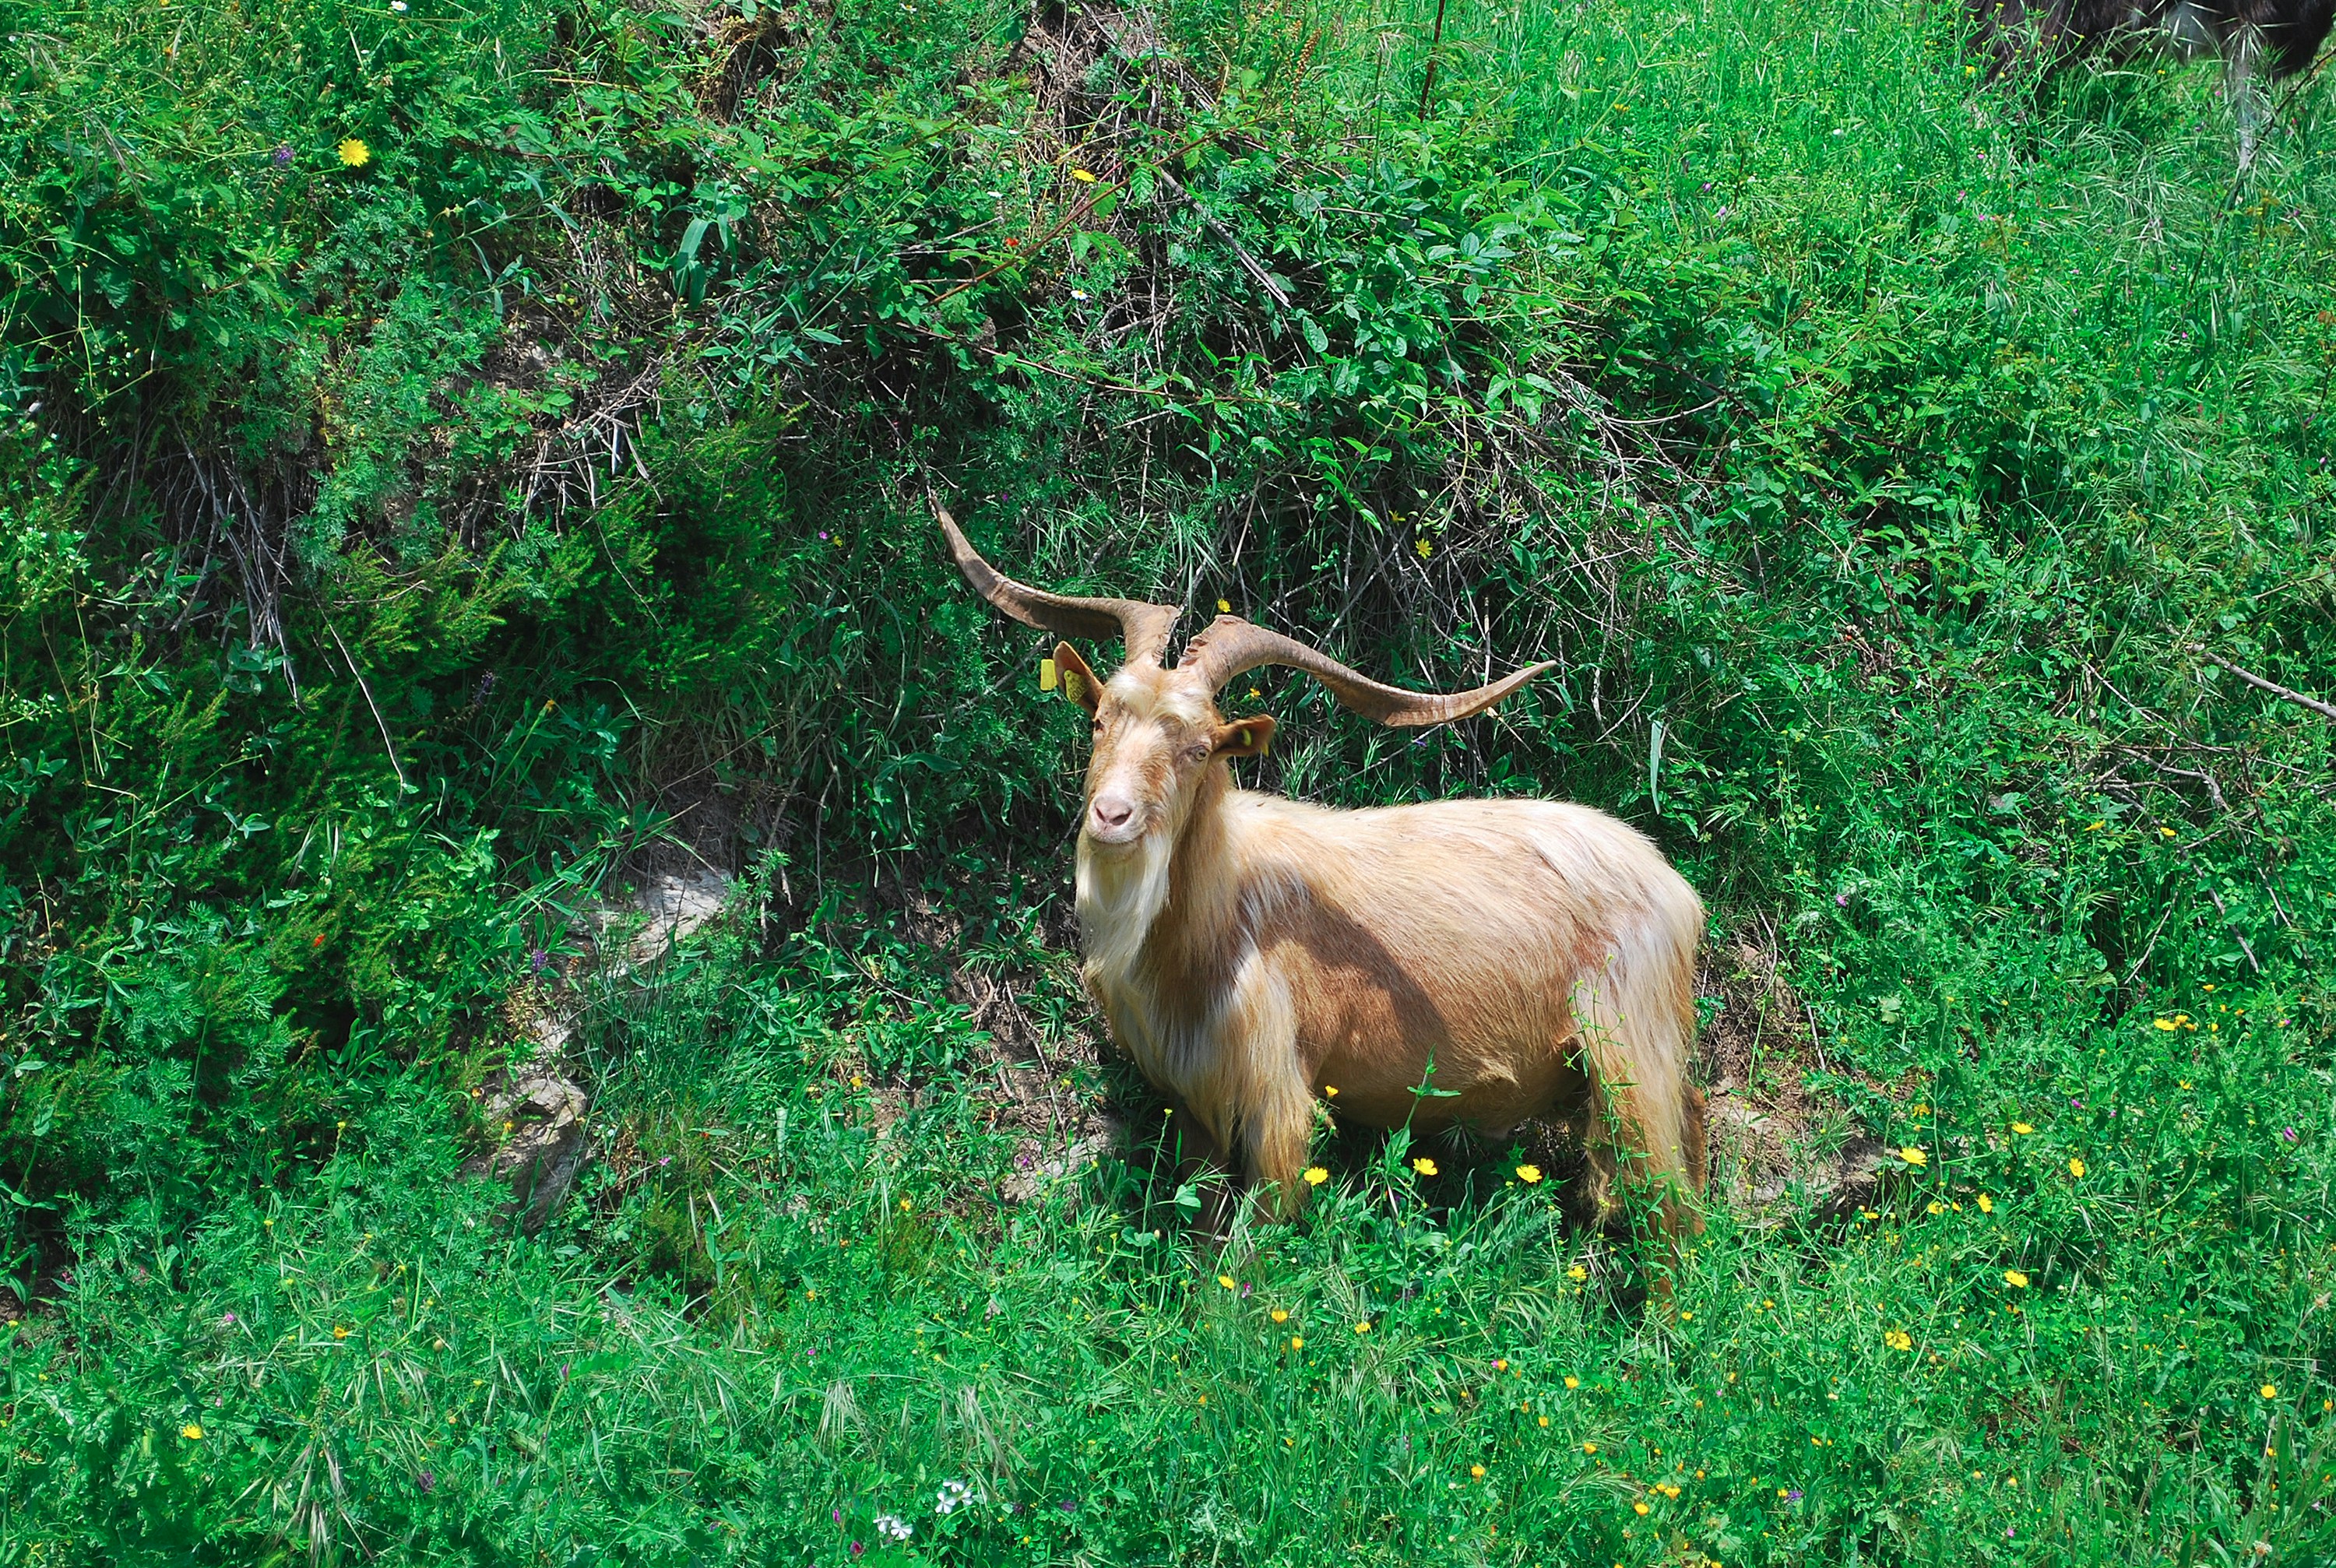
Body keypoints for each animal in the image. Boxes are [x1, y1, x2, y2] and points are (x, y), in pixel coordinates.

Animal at [938, 504, 1708, 1242]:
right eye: (1099, 720)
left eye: (1199, 749)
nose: (1112, 815)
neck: (1217, 918)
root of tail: (1671, 882)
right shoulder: (1192, 1100)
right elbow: (1205, 1231)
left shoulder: (1278, 1098)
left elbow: (1247, 1256)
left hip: (1632, 1052)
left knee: (1670, 1203)